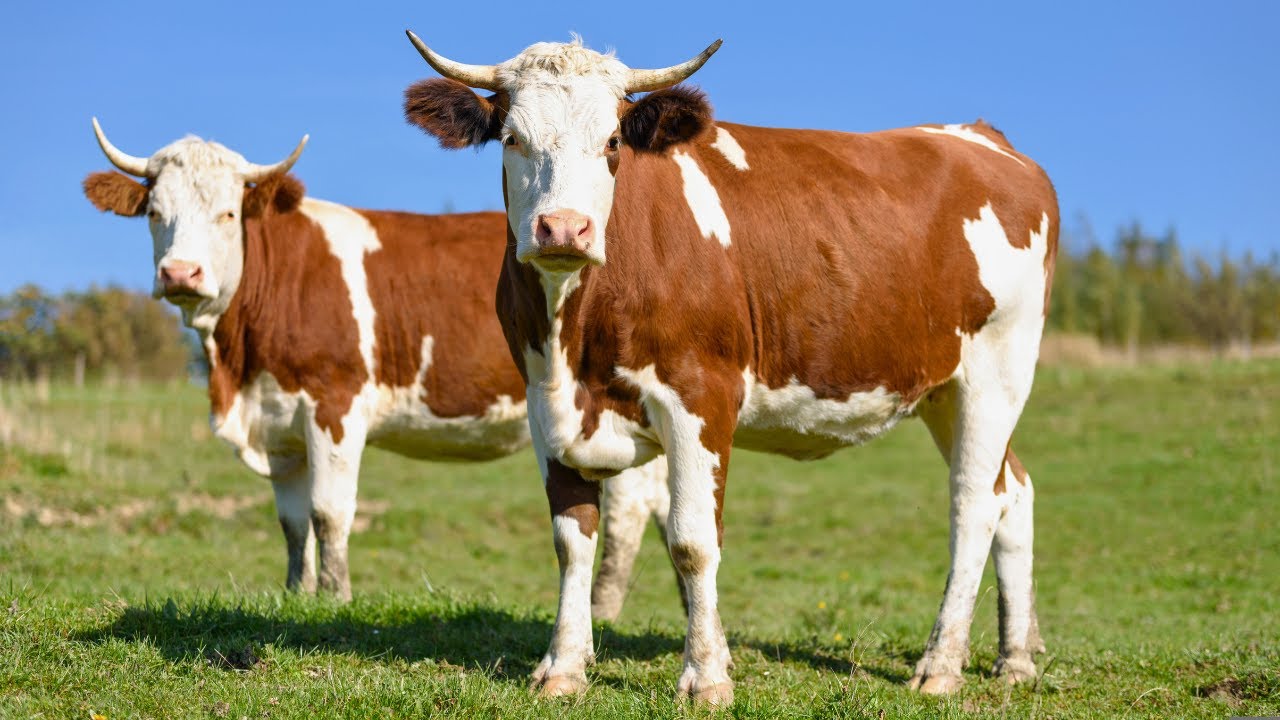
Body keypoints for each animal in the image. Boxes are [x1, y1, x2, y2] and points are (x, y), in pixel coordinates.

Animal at [81, 120, 676, 611]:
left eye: (227, 214)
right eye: (154, 214)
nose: (180, 273)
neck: (239, 367)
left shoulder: (335, 406)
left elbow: (328, 512)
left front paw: (335, 597)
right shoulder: (279, 425)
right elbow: (293, 522)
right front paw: (296, 593)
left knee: (627, 512)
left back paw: (603, 607)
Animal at [400, 34, 1059, 704]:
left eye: (611, 142)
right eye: (512, 137)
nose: (564, 228)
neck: (575, 335)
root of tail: (980, 136)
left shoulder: (702, 394)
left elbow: (692, 541)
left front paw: (706, 676)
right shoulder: (544, 403)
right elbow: (572, 539)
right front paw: (563, 667)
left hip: (997, 370)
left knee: (973, 504)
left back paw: (941, 664)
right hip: (942, 391)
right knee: (1013, 490)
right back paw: (1015, 657)